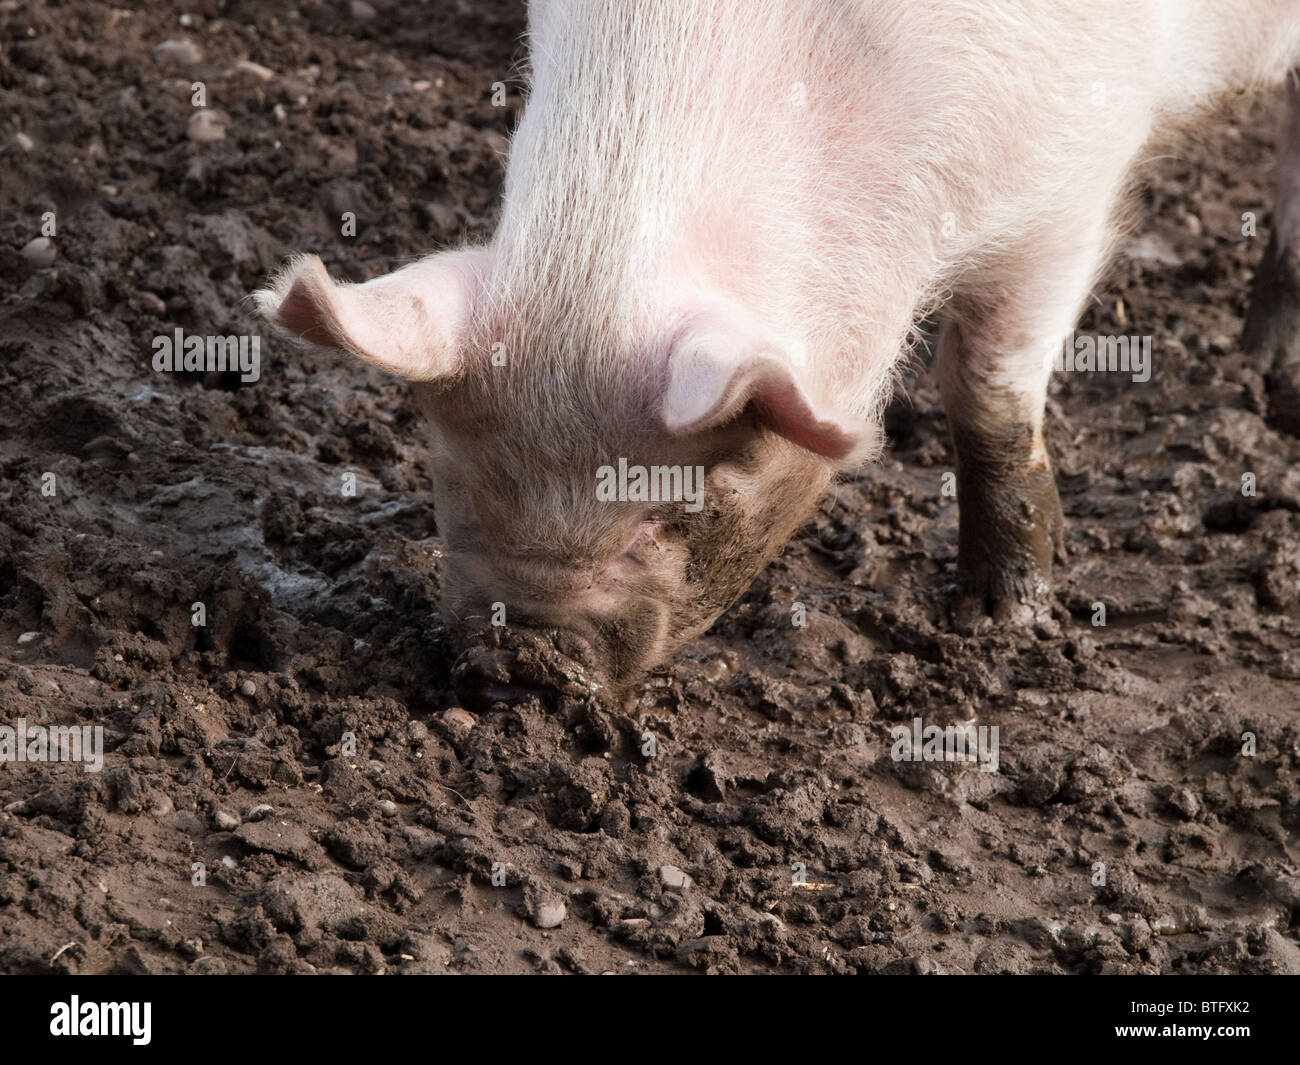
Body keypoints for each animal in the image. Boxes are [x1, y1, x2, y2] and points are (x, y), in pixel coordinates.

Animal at [255, 0, 1300, 700]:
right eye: (452, 476)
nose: (523, 659)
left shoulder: (1073, 171)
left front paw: (1004, 621)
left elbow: (988, 389)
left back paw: (1265, 369)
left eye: (673, 510)